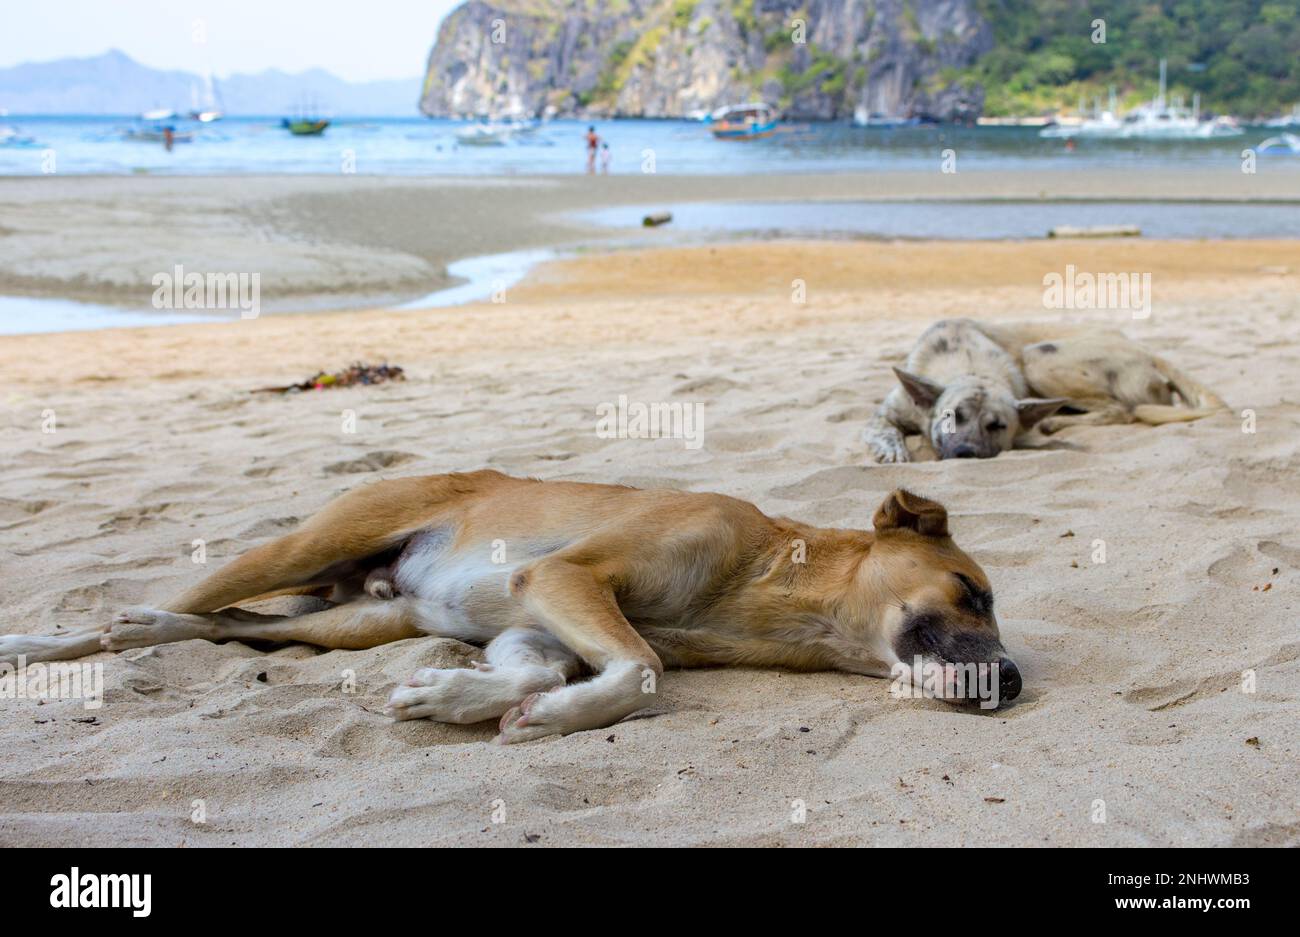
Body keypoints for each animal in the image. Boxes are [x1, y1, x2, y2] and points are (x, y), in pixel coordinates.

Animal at [0, 470, 1019, 743]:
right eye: (974, 591)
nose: (1011, 681)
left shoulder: (535, 628)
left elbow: (545, 673)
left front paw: (462, 699)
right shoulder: (565, 581)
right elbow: (643, 669)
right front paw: (548, 714)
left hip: (353, 622)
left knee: (231, 627)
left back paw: (155, 630)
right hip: (302, 546)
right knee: (186, 599)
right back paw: (45, 639)